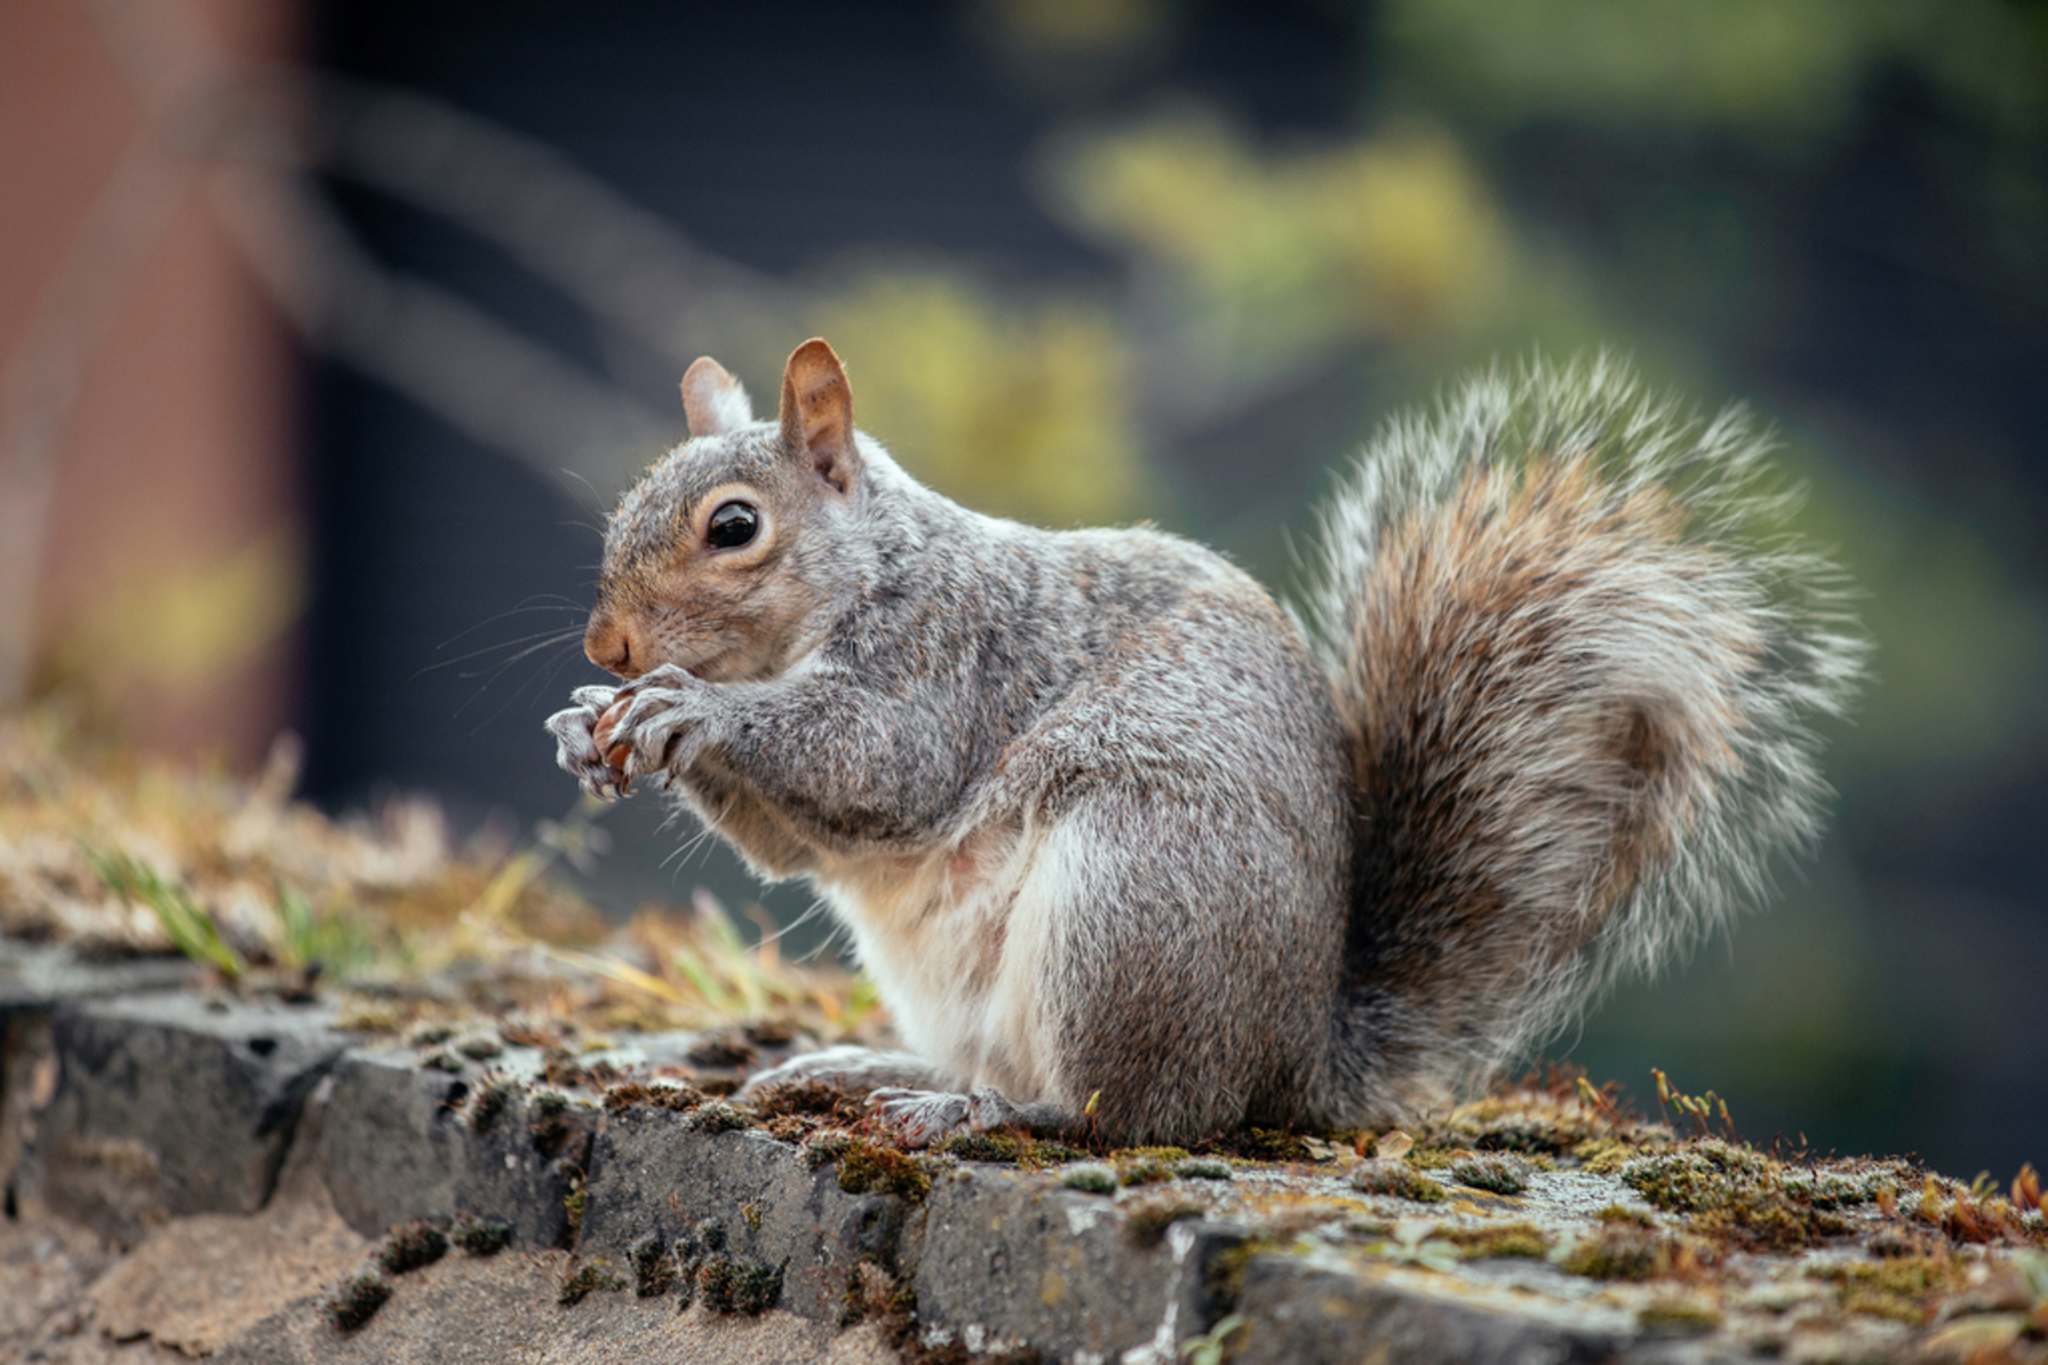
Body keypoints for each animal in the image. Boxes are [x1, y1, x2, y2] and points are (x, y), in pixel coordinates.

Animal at [546, 339, 1864, 1147]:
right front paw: (581, 729)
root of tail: (1291, 1062)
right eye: (623, 512)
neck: (867, 576)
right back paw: (876, 1074)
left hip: (1128, 902)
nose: (608, 645)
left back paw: (990, 1117)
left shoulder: (949, 664)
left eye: (733, 528)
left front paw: (686, 710)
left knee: (1122, 1113)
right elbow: (789, 845)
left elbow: (872, 761)